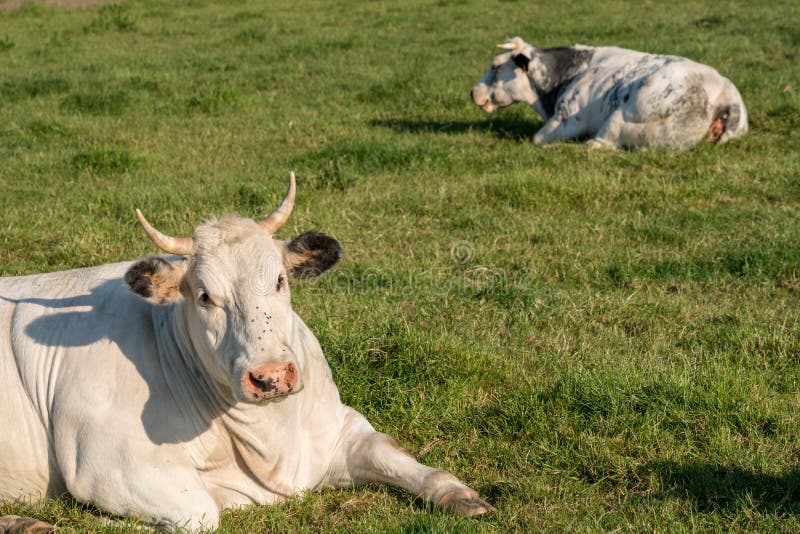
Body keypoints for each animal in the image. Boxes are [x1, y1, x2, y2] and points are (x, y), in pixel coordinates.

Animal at [0, 173, 493, 531]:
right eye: (204, 297)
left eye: (280, 279)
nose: (271, 376)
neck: (270, 444)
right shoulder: (105, 463)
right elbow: (200, 514)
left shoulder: (337, 430)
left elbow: (395, 455)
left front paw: (462, 497)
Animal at [471, 37, 748, 150]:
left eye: (495, 66)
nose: (473, 91)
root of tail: (724, 91)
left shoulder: (566, 118)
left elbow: (536, 138)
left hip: (621, 115)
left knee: (602, 143)